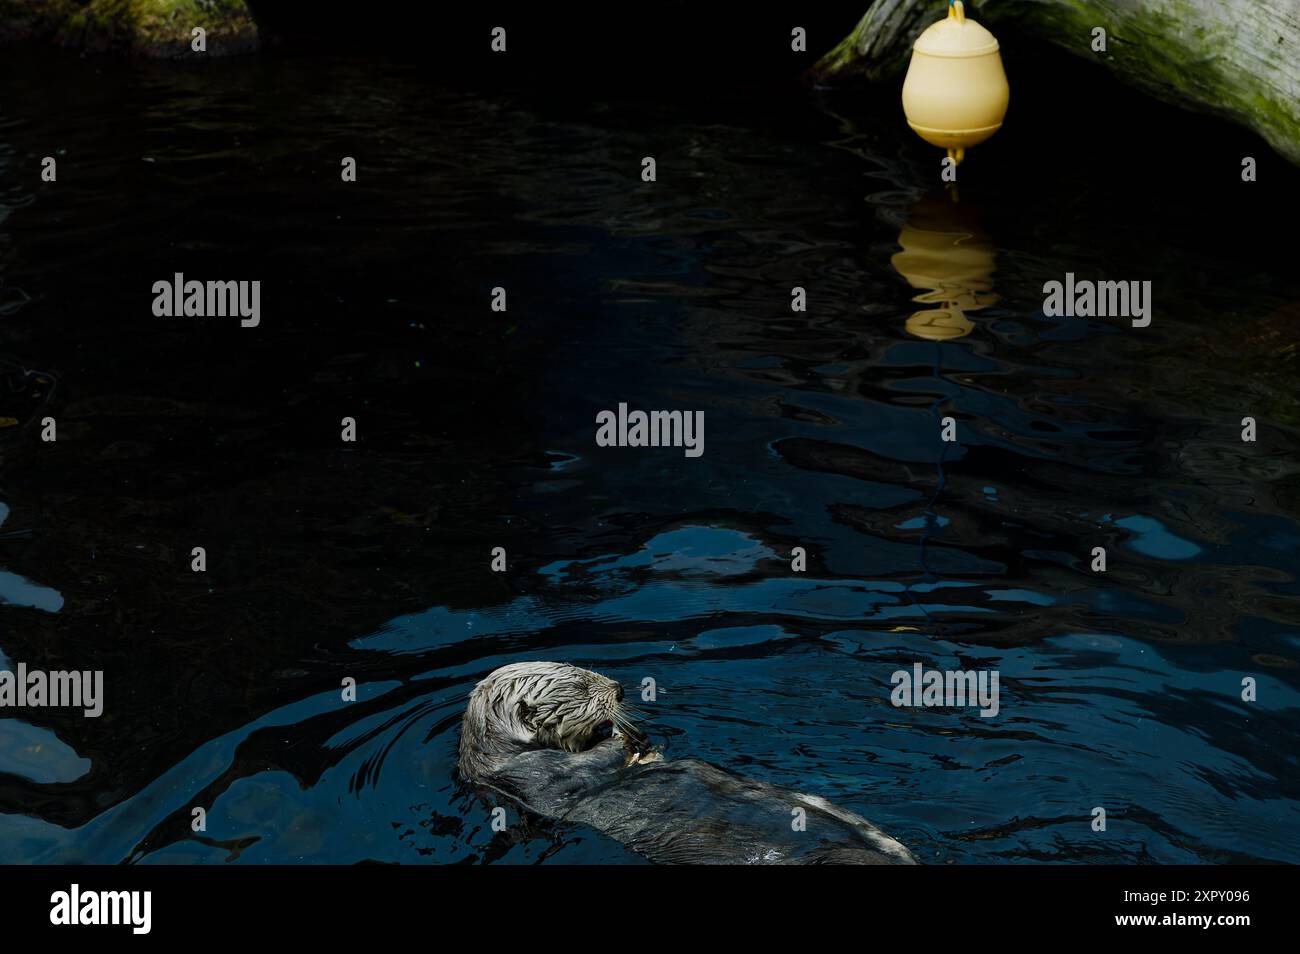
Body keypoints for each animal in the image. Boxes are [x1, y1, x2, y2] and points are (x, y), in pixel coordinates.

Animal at [458, 661, 916, 864]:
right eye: (582, 686)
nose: (620, 689)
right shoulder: (531, 777)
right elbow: (583, 772)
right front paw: (620, 738)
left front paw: (640, 740)